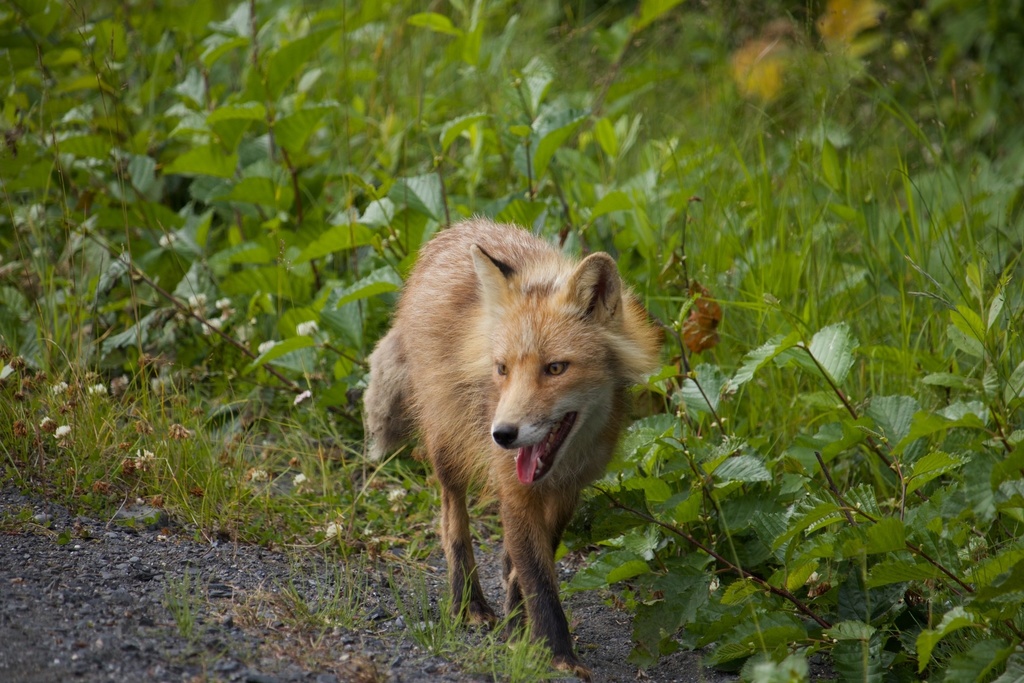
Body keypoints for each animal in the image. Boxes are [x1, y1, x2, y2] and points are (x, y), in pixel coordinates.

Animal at [363, 218, 662, 679]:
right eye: (502, 369)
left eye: (555, 368)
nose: (501, 435)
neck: (564, 460)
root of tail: (458, 228)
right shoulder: (515, 486)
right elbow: (539, 580)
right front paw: (557, 654)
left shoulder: (568, 490)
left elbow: (534, 562)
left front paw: (520, 627)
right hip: (447, 448)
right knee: (452, 523)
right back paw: (469, 604)